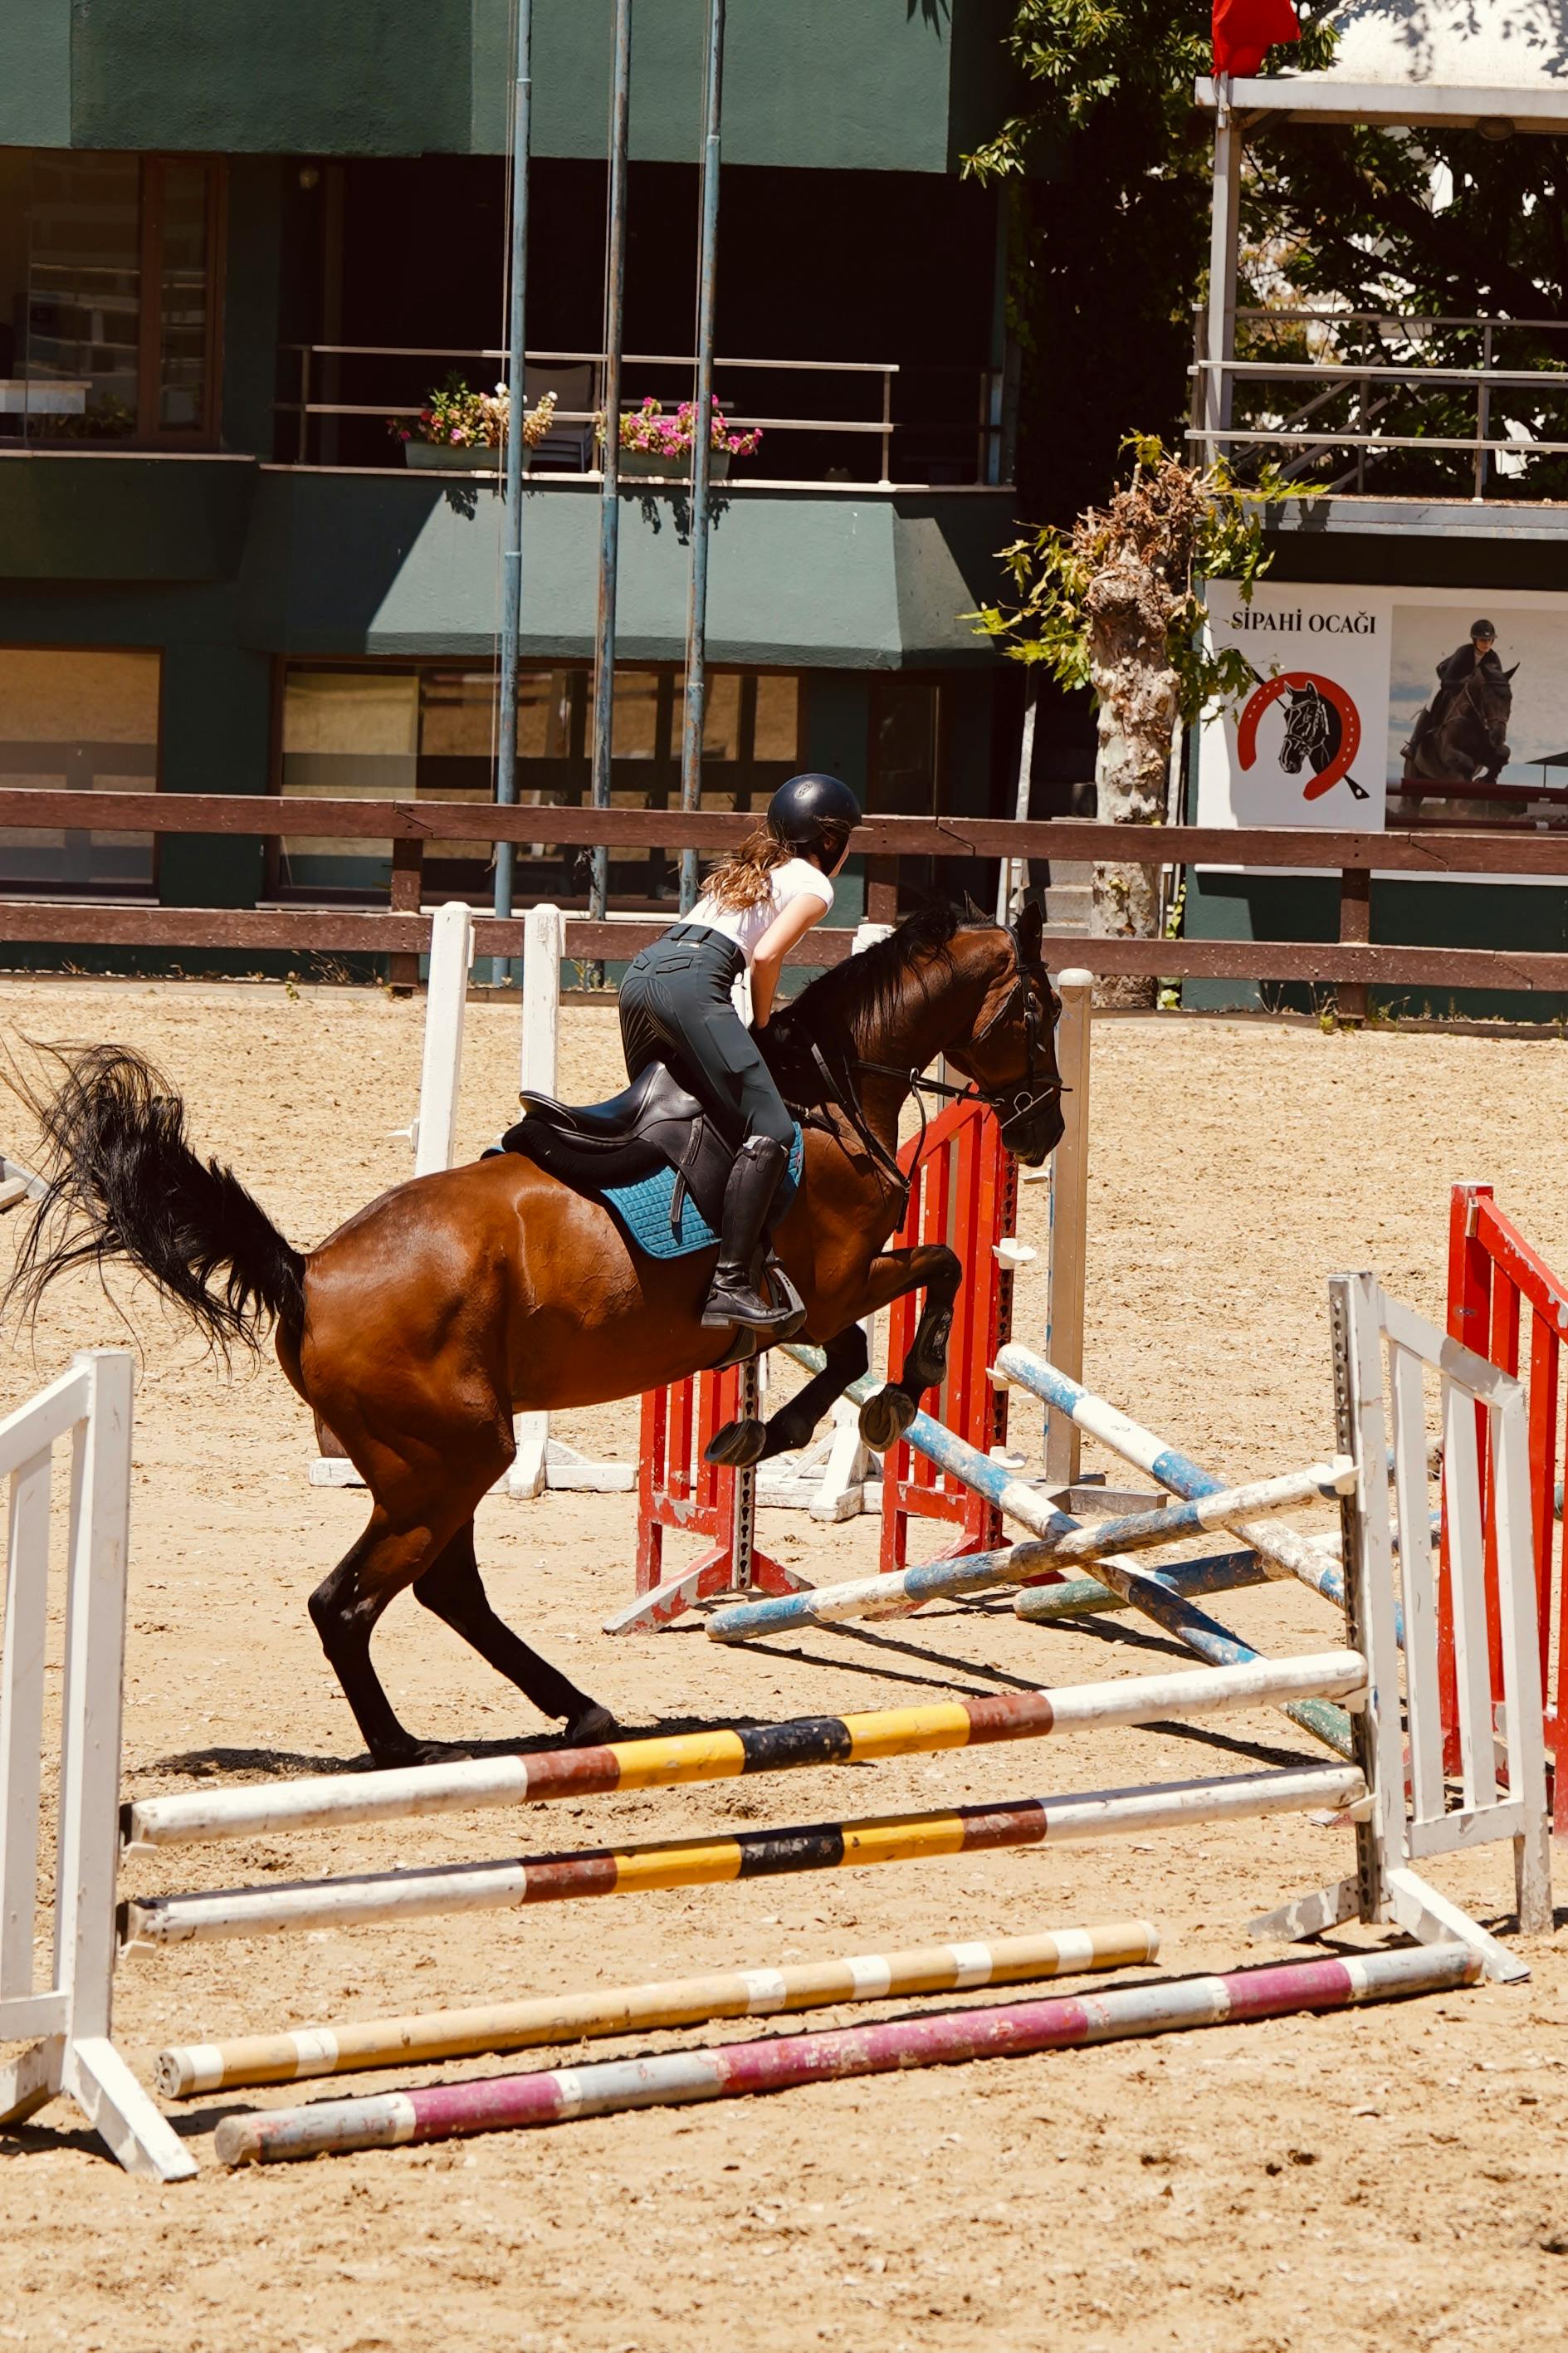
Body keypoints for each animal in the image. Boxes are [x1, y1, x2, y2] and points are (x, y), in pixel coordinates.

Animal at [2, 901, 1064, 1769]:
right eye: (1038, 1010)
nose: (1042, 1130)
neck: (823, 1093)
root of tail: (307, 1272)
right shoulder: (833, 1284)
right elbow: (912, 1296)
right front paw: (877, 1401)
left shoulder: (825, 1293)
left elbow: (869, 1331)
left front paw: (764, 1431)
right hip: (448, 1460)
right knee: (352, 1601)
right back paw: (403, 1746)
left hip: (442, 1463)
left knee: (445, 1591)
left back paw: (570, 1710)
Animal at [1403, 661, 1517, 787]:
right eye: (1486, 695)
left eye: (1510, 697)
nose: (1498, 736)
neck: (1473, 719)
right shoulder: (1447, 752)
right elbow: (1467, 763)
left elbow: (1504, 753)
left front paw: (1486, 779)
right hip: (1412, 772)